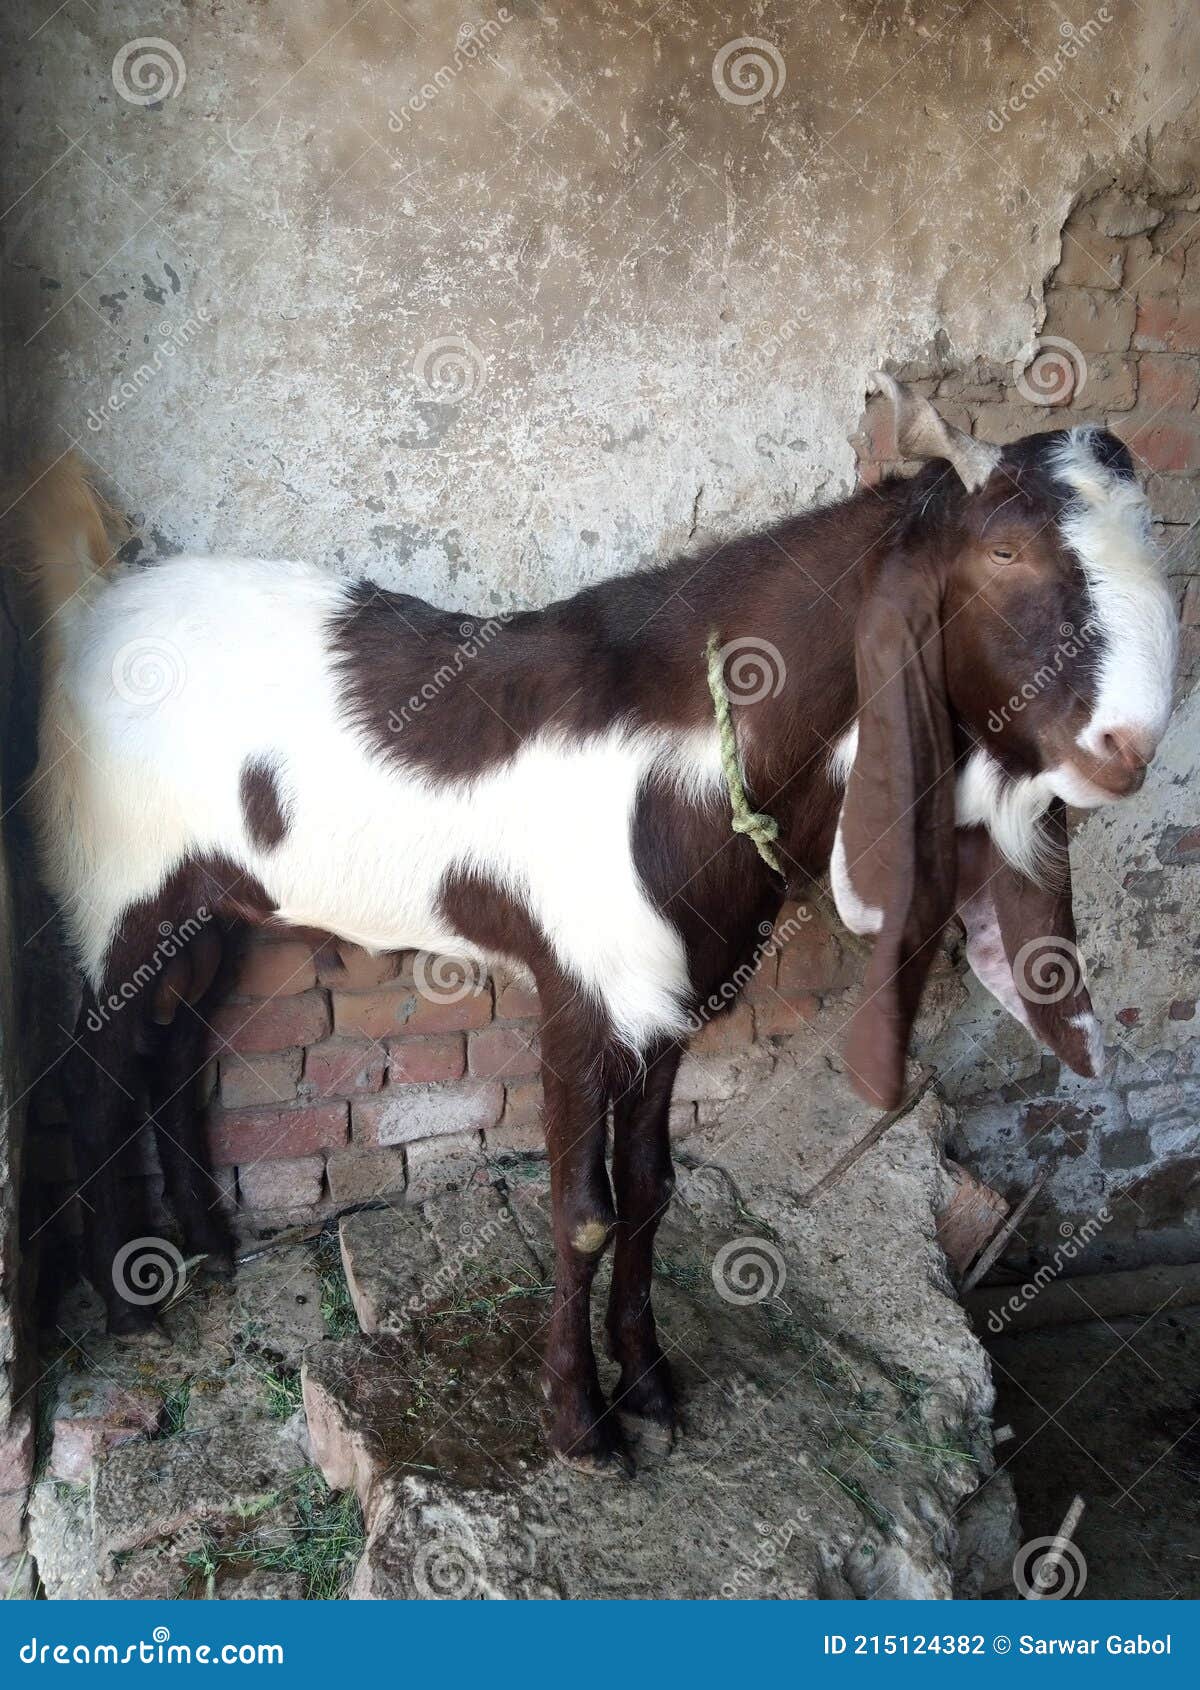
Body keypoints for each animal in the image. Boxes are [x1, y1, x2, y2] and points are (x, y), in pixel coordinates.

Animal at [14, 375, 1178, 1473]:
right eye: (1006, 549)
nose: (1130, 747)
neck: (693, 752)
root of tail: (99, 611)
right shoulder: (576, 992)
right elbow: (583, 1210)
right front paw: (580, 1424)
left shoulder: (671, 994)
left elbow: (653, 1191)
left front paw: (652, 1384)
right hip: (111, 887)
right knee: (95, 1066)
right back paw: (129, 1297)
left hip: (214, 898)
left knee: (172, 1044)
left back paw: (205, 1244)